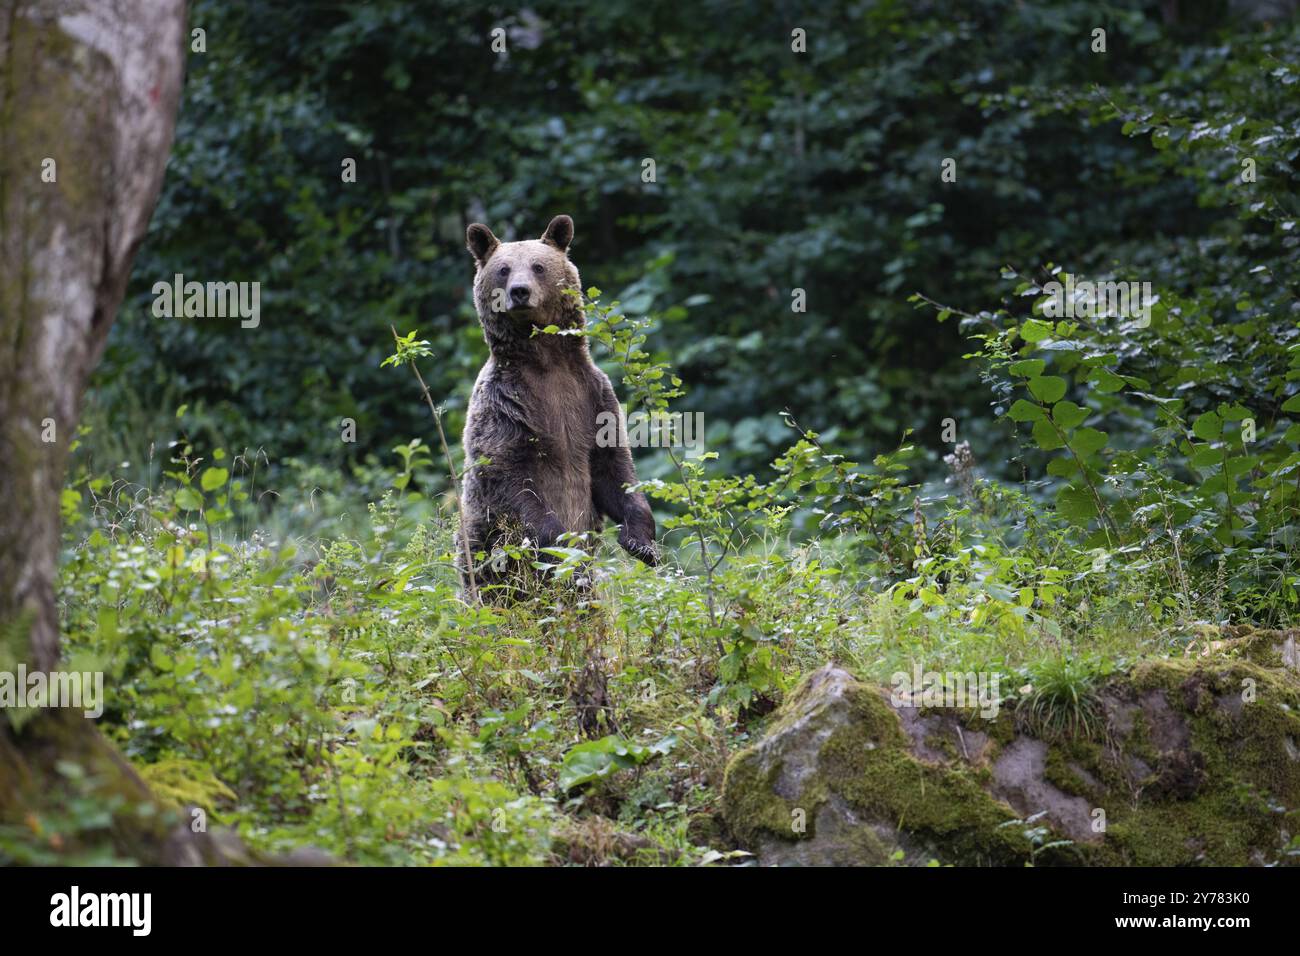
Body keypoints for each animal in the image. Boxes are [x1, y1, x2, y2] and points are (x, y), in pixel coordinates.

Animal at [459, 214, 658, 598]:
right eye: (503, 269)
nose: (519, 291)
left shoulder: (592, 397)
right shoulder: (506, 406)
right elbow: (510, 476)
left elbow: (614, 468)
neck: (548, 362)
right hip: (483, 549)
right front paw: (560, 546)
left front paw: (642, 542)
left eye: (538, 266)